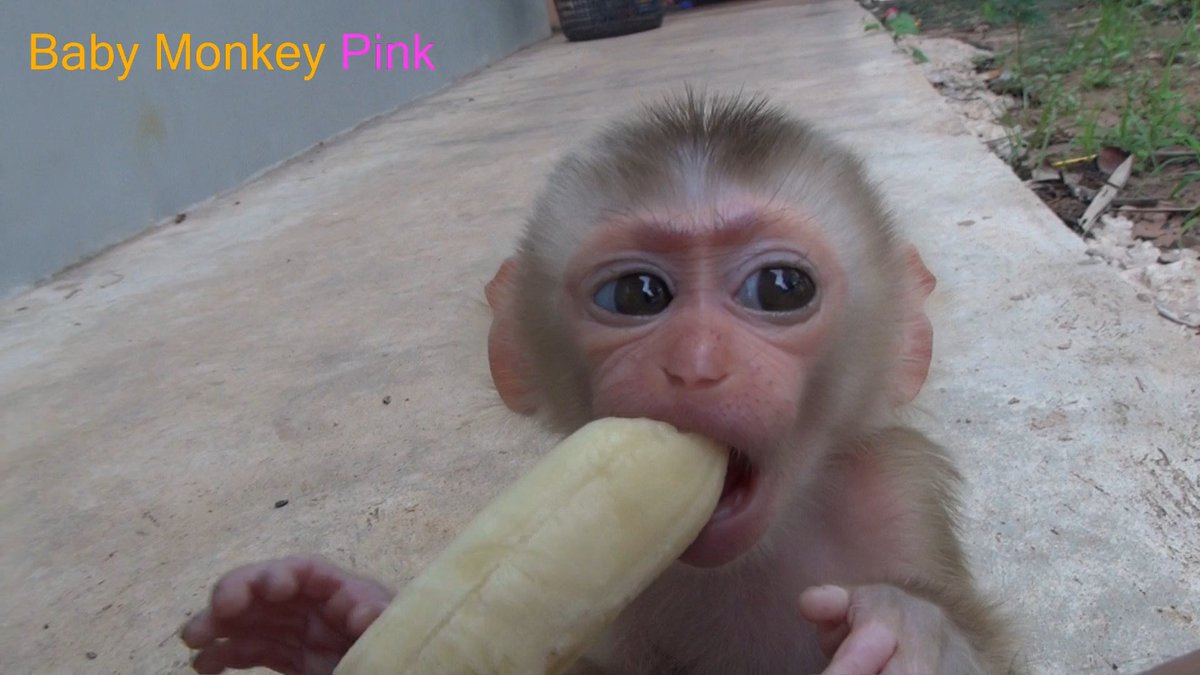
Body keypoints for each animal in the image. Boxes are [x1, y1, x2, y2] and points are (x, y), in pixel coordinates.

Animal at [182, 90, 1015, 674]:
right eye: (637, 296)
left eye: (782, 288)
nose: (696, 363)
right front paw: (329, 621)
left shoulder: (897, 493)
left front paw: (914, 633)